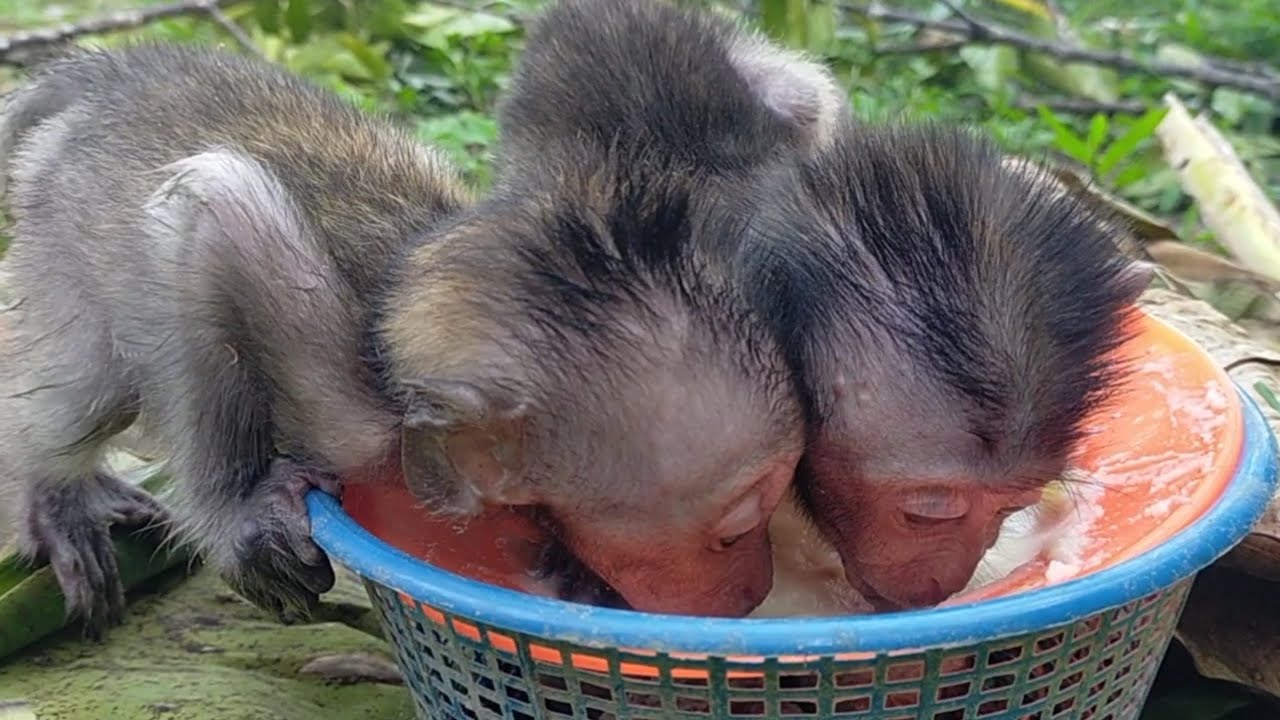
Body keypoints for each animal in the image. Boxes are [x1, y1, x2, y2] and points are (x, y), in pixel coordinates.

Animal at [0, 41, 803, 635]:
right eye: (735, 529)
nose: (755, 586)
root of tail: (113, 73)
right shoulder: (351, 413)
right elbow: (212, 211)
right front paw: (232, 514)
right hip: (60, 218)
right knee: (82, 396)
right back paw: (56, 492)